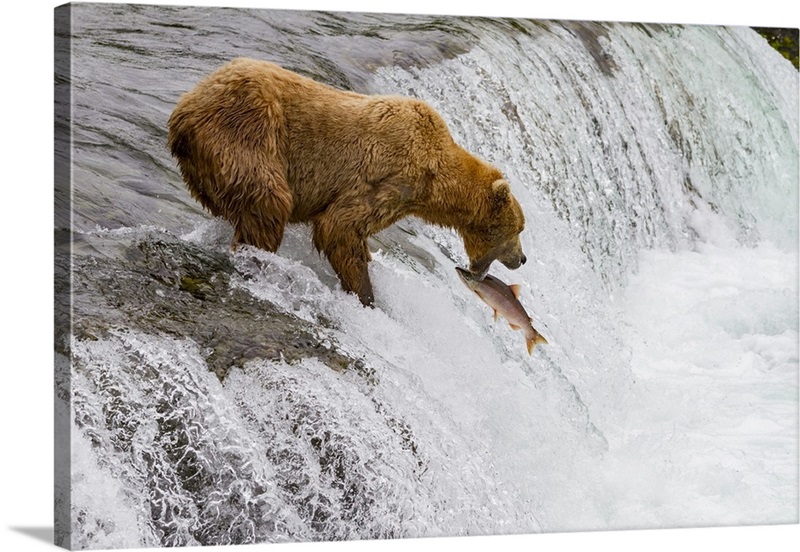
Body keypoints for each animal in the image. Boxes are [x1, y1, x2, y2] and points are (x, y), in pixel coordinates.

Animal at [167, 58, 527, 306]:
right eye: (518, 229)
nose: (521, 259)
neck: (435, 180)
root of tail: (185, 108)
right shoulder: (391, 177)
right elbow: (339, 227)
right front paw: (365, 295)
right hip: (247, 129)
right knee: (268, 200)